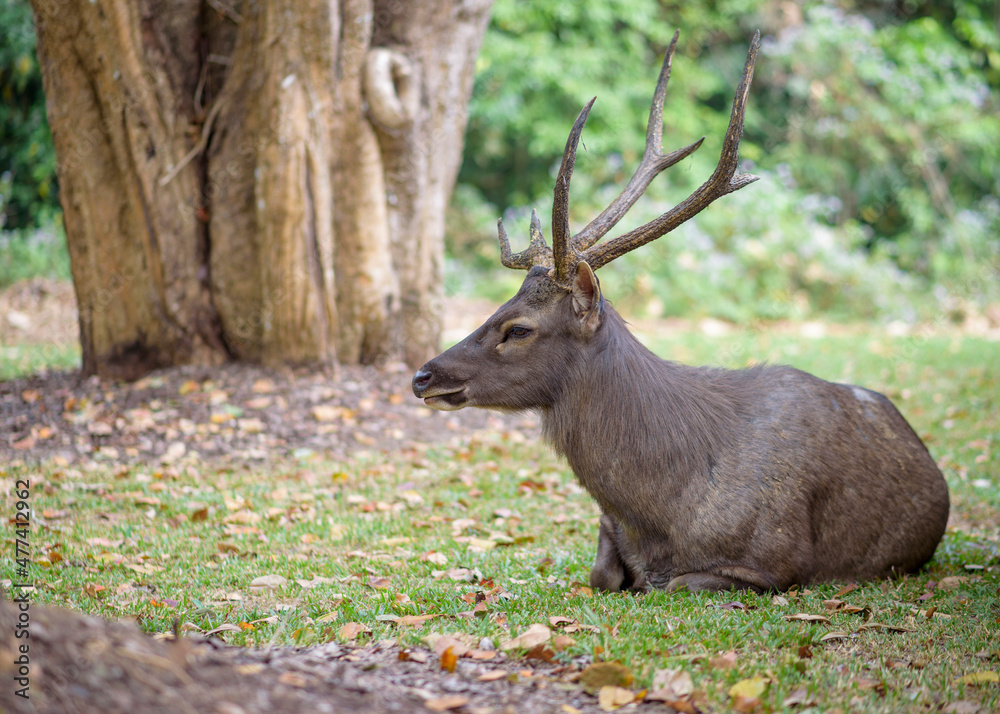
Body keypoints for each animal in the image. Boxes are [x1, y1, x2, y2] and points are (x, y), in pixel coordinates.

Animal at [412, 31, 950, 593]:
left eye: (518, 329)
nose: (423, 376)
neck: (660, 512)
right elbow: (602, 575)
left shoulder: (777, 563)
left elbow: (674, 583)